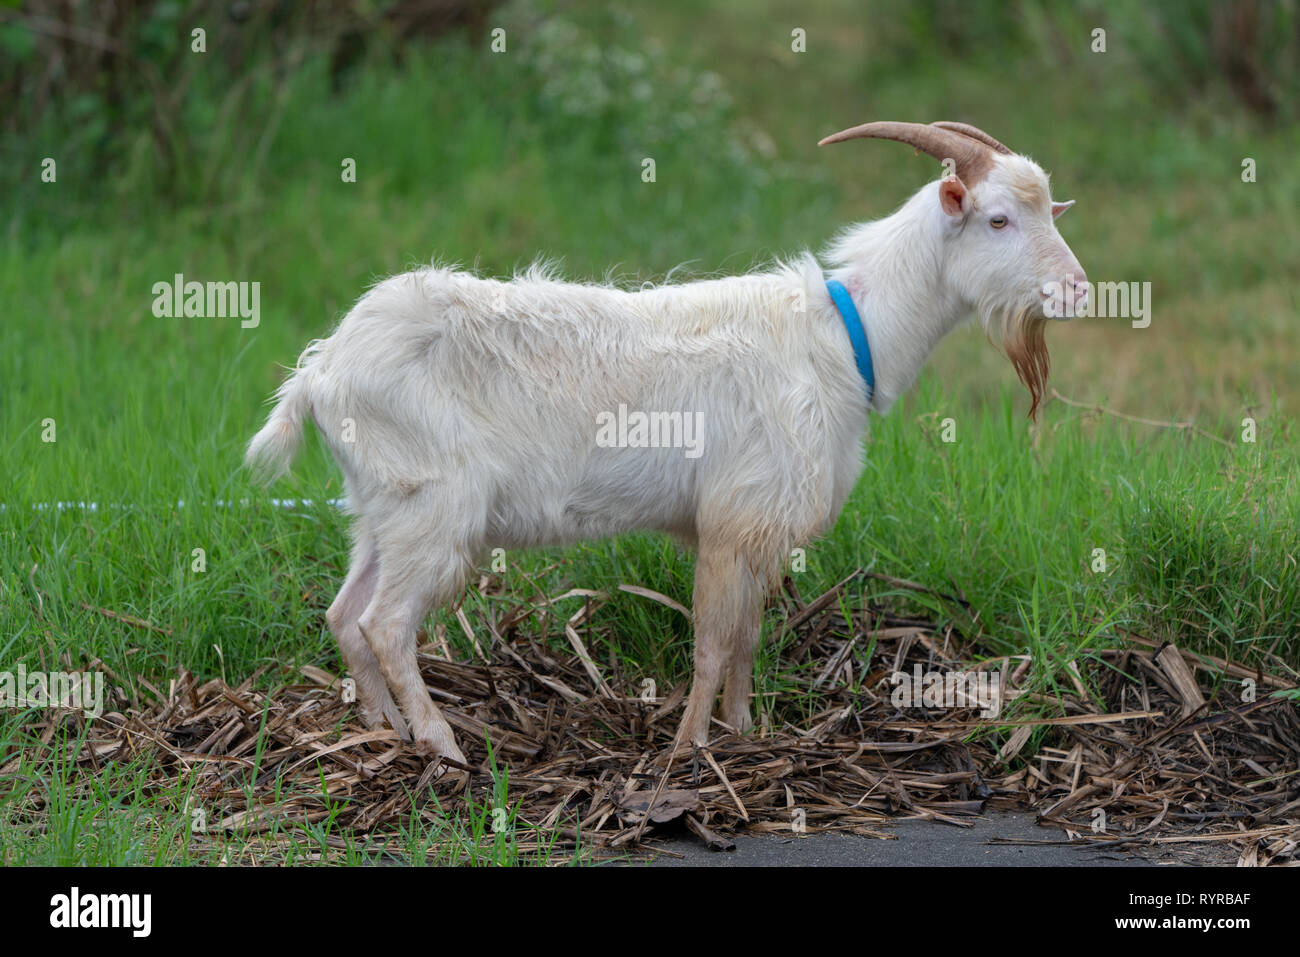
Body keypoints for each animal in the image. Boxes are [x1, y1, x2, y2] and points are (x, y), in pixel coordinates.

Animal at [246, 121, 1087, 768]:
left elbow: (746, 639)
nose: (1079, 289)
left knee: (345, 614)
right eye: (999, 220)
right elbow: (712, 644)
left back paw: (380, 731)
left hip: (381, 507)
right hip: (434, 508)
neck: (844, 338)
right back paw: (442, 744)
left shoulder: (755, 528)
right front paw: (689, 750)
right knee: (386, 623)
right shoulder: (734, 519)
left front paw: (743, 731)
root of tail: (322, 369)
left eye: (1048, 212)